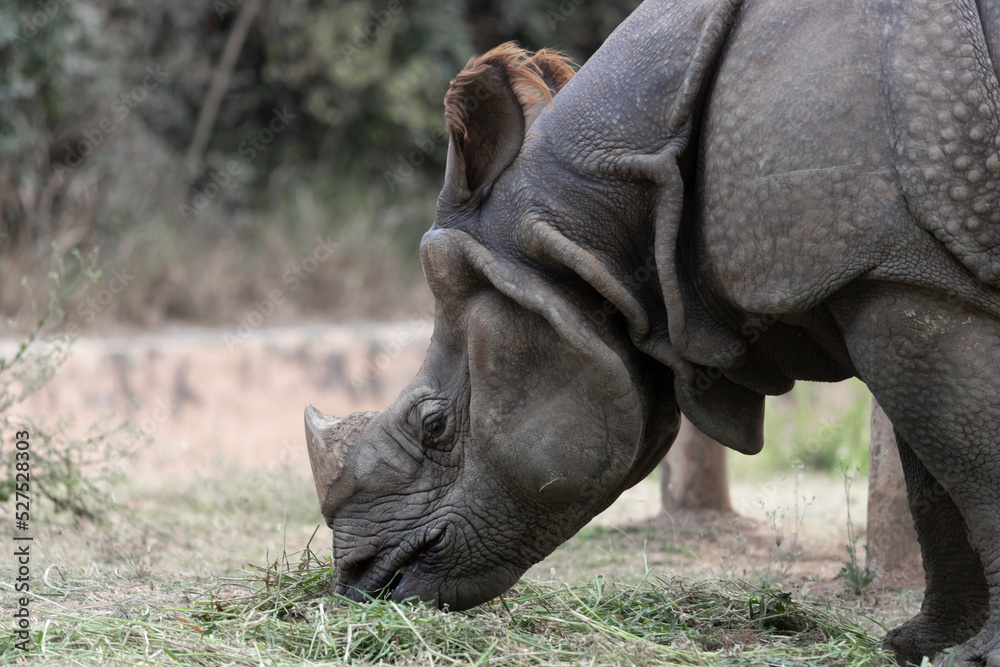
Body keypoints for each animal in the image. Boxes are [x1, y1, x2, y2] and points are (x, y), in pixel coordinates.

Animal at [305, 0, 1000, 664]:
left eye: (434, 426)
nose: (357, 579)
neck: (588, 236)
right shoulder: (899, 273)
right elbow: (934, 484)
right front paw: (922, 646)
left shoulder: (889, 275)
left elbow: (970, 465)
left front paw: (972, 655)